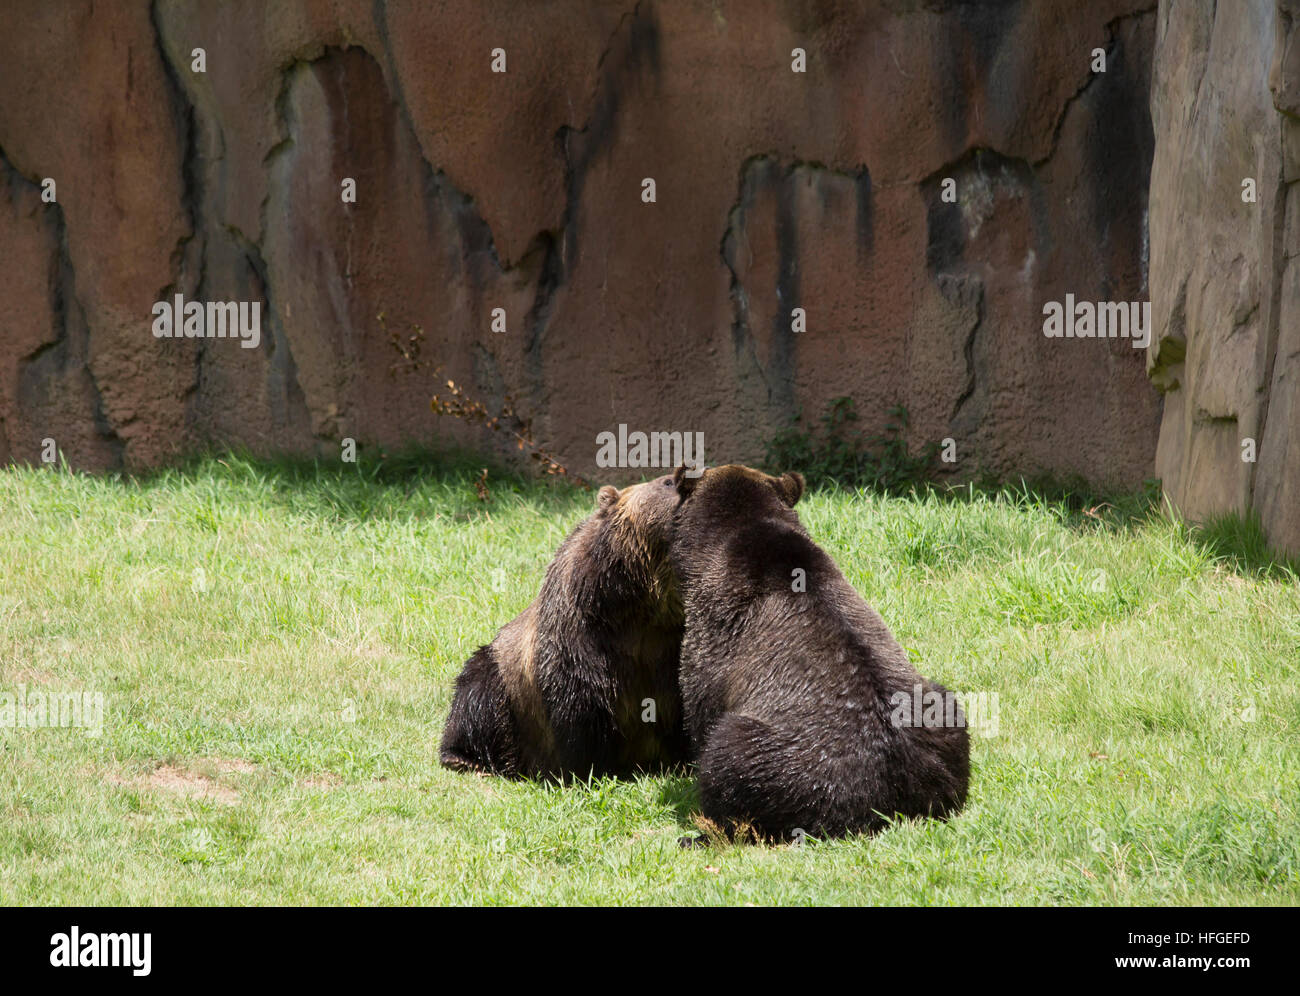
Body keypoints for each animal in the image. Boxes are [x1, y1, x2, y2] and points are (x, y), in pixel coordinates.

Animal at [439, 473, 690, 779]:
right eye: (667, 482)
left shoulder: (673, 639)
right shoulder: (583, 628)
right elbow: (579, 695)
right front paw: (586, 769)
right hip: (503, 681)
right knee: (476, 697)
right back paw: (464, 758)